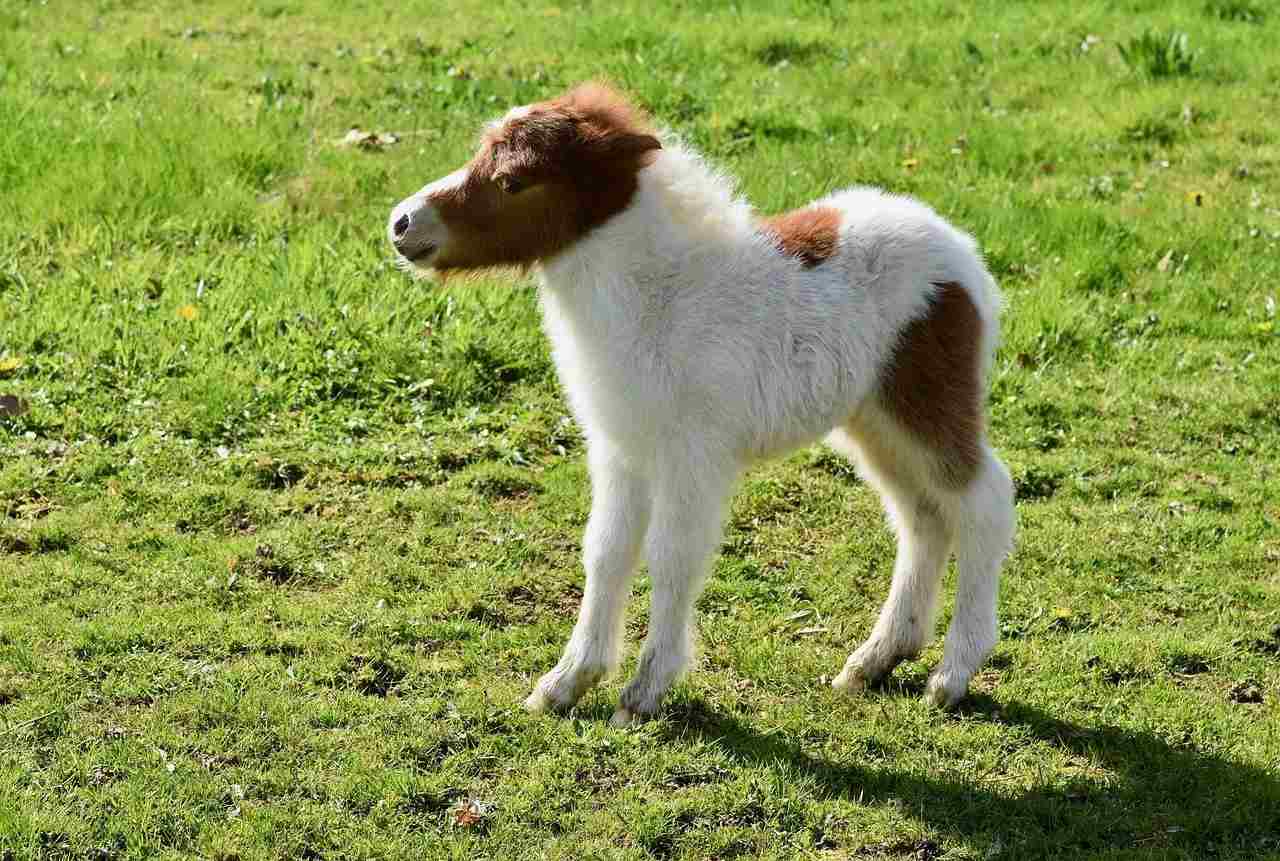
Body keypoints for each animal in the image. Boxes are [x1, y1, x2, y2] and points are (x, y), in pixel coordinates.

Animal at [384, 82, 1013, 726]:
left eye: (514, 180)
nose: (401, 223)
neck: (657, 299)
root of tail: (964, 257)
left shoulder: (692, 456)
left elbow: (671, 556)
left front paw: (643, 692)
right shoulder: (621, 450)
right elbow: (606, 552)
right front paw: (566, 683)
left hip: (927, 403)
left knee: (984, 499)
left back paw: (951, 675)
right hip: (875, 420)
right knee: (923, 517)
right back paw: (875, 660)